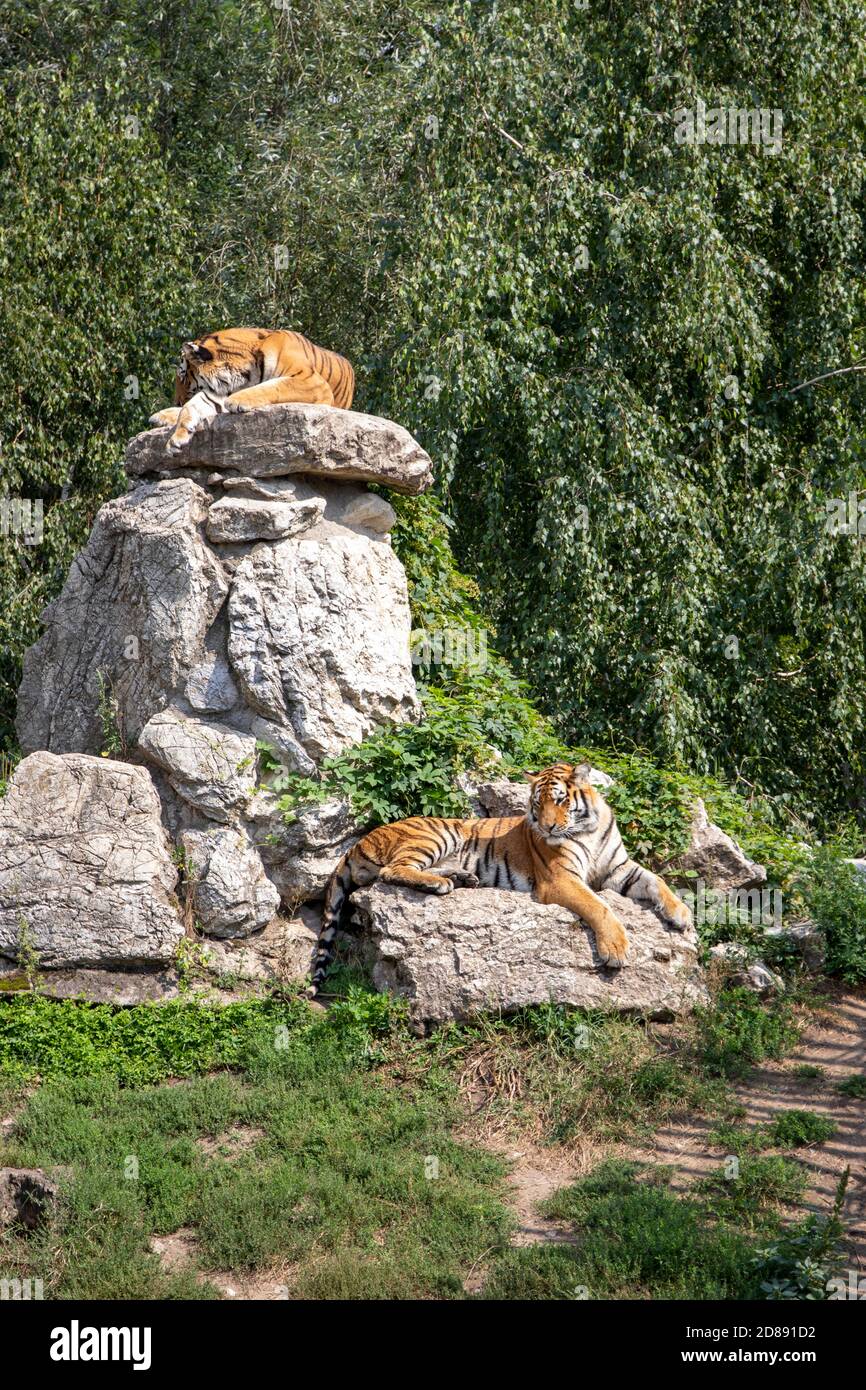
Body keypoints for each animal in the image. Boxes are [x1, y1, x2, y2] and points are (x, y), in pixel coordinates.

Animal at [149, 327, 355, 454]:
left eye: (183, 376)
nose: (177, 400)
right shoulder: (219, 390)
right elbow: (193, 405)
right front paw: (177, 438)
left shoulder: (311, 381)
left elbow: (274, 385)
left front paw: (237, 400)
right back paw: (160, 416)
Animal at [311, 761, 693, 994]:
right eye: (536, 804)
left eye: (559, 800)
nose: (546, 827)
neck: (588, 828)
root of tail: (356, 842)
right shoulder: (561, 878)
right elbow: (598, 906)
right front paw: (615, 948)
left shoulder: (618, 868)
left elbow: (656, 880)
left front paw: (681, 914)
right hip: (436, 834)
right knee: (394, 870)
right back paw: (440, 884)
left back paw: (462, 877)